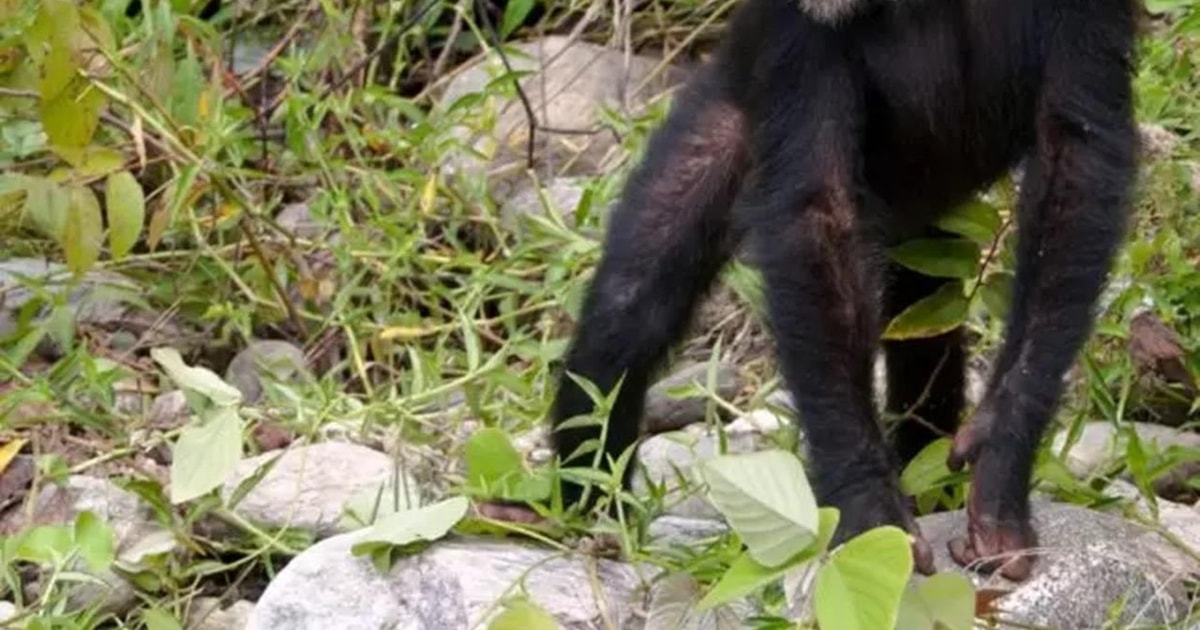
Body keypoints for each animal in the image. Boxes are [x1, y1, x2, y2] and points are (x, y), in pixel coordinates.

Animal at [481, 0, 1139, 582]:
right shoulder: (784, 26)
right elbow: (817, 214)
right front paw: (871, 510)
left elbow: (1075, 151)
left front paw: (999, 465)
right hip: (731, 109)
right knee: (630, 303)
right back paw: (574, 512)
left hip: (924, 235)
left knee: (922, 331)